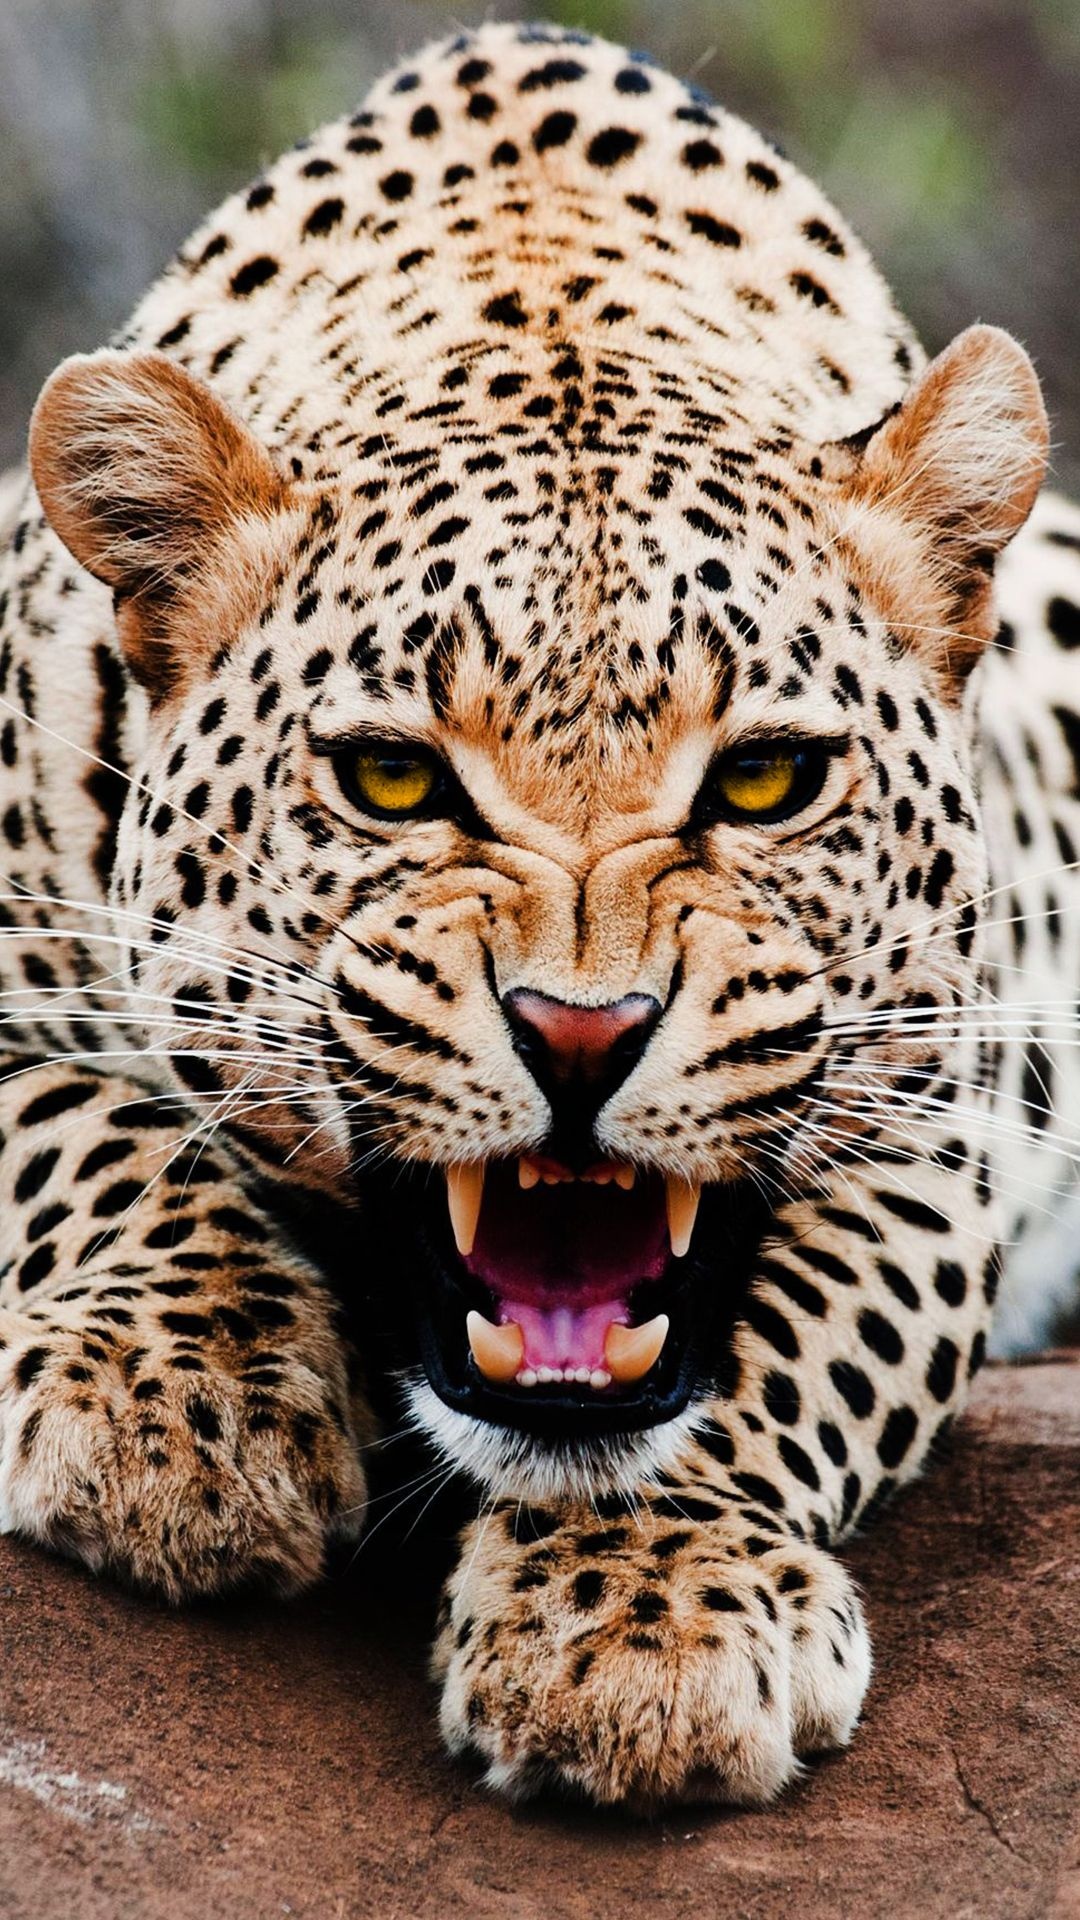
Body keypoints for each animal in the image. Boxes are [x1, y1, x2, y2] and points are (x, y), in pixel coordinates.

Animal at [0, 21, 1076, 1811]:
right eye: (391, 780)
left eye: (768, 781)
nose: (582, 1035)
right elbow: (79, 1127)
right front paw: (183, 1407)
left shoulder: (957, 1098)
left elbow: (785, 1340)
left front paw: (643, 1619)